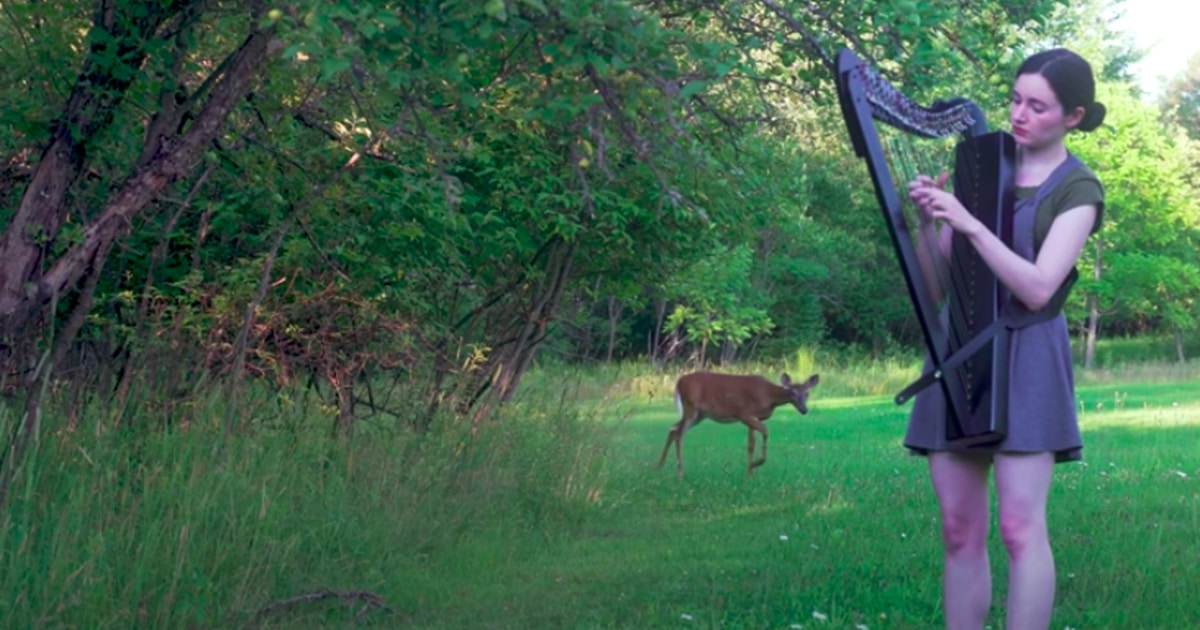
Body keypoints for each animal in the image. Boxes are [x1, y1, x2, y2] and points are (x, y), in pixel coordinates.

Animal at [657, 371, 820, 478]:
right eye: (792, 393)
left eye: (807, 393)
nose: (804, 409)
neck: (769, 397)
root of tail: (679, 381)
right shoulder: (744, 413)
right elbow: (765, 432)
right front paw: (756, 464)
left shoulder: (754, 418)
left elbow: (750, 445)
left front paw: (749, 473)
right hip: (691, 407)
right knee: (678, 433)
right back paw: (680, 473)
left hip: (700, 414)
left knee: (672, 429)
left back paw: (659, 466)